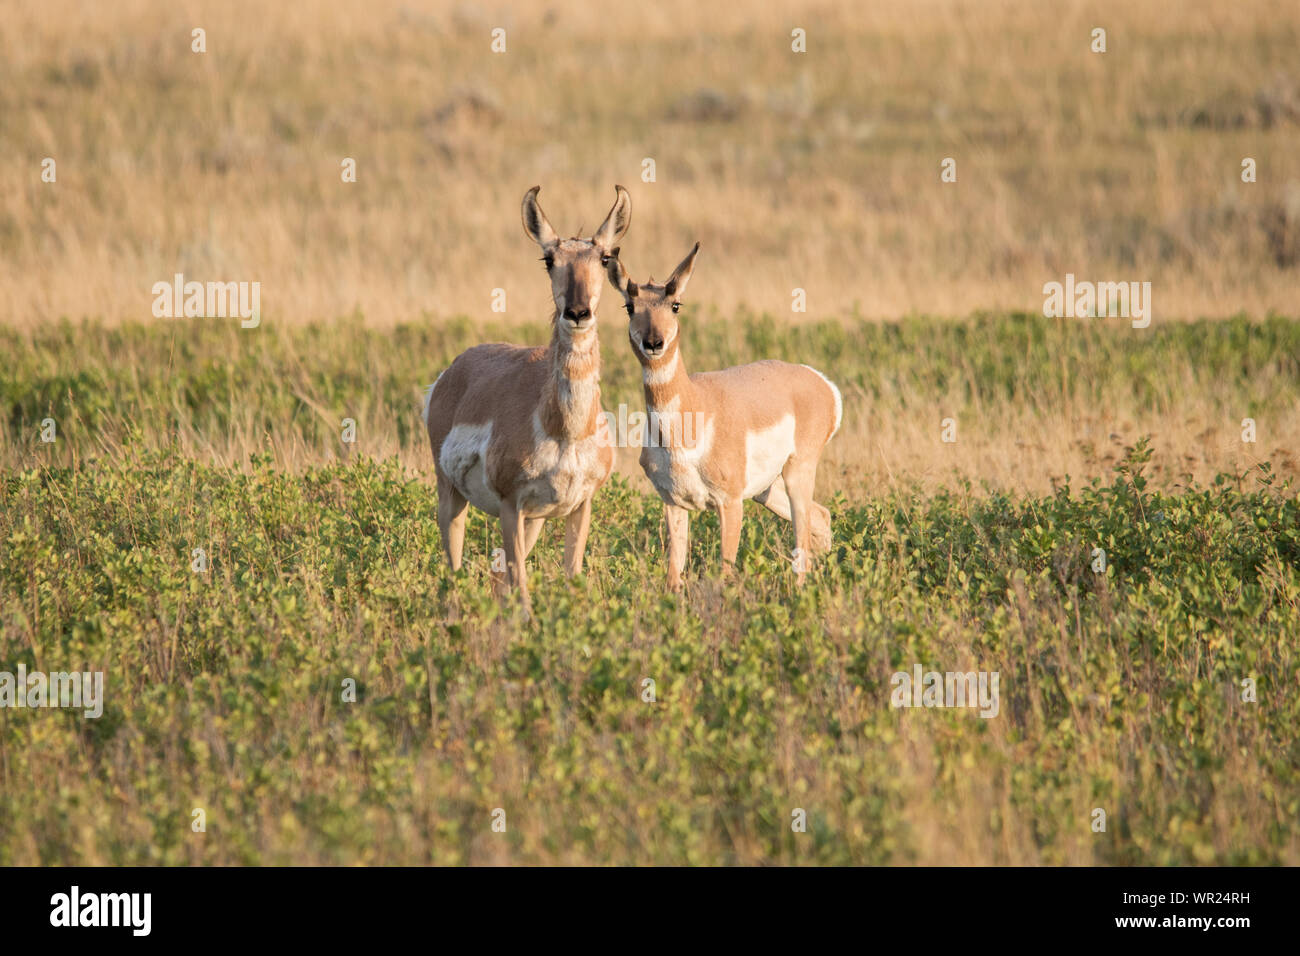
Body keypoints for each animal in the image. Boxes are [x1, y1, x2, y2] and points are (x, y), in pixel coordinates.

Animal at [423, 185, 631, 611]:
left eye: (604, 257)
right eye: (549, 259)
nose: (577, 312)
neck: (564, 430)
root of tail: (450, 372)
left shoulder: (579, 507)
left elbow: (571, 576)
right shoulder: (510, 505)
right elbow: (521, 588)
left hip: (533, 521)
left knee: (494, 580)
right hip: (451, 497)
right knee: (454, 570)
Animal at [606, 242, 841, 590]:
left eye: (675, 305)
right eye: (629, 306)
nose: (653, 342)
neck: (694, 411)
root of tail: (819, 381)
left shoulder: (729, 503)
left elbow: (726, 571)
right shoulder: (673, 503)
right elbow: (673, 575)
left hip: (796, 473)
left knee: (803, 535)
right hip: (766, 491)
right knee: (821, 518)